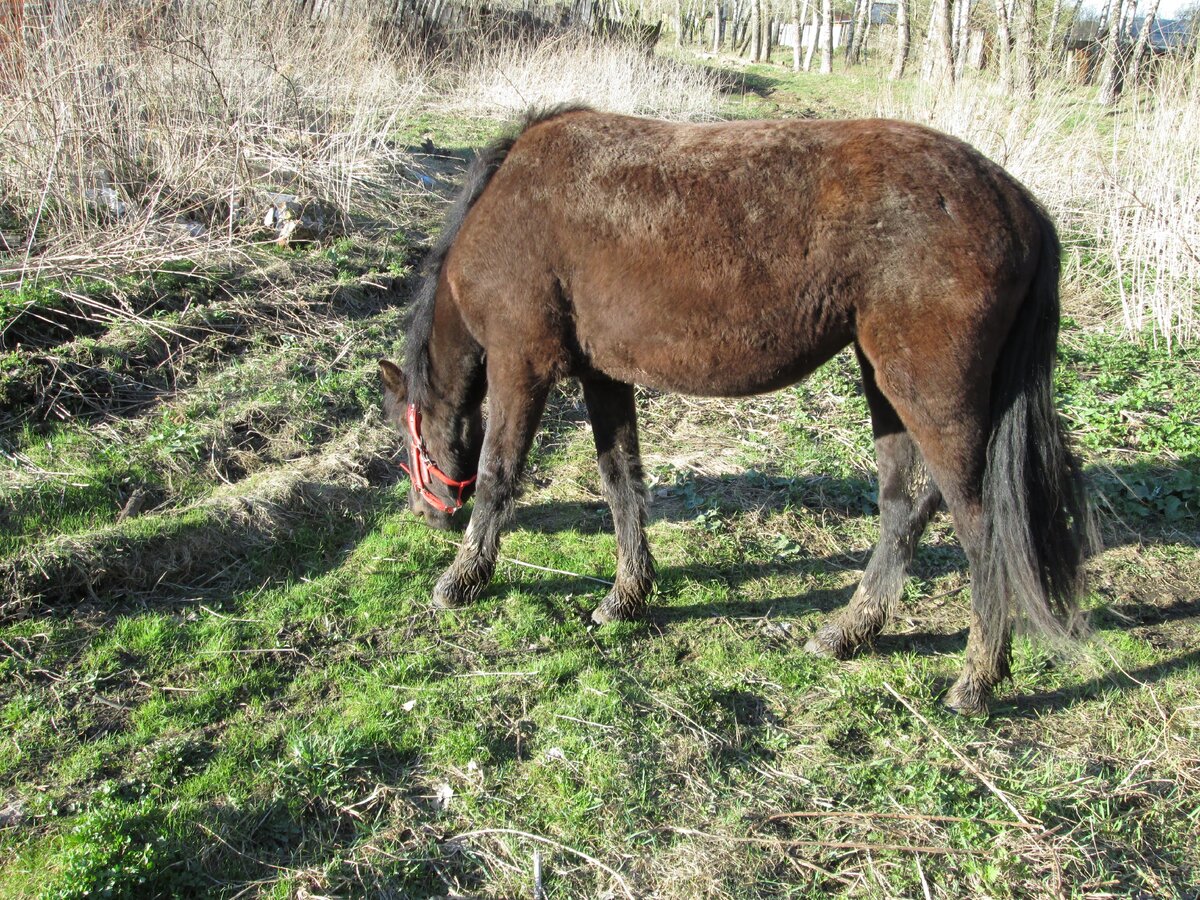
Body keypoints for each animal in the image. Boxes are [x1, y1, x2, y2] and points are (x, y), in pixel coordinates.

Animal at [376, 105, 1099, 715]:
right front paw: (627, 596)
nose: (424, 514)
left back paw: (976, 681)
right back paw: (849, 632)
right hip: (889, 389)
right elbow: (621, 482)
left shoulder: (520, 364)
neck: (508, 205)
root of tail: (1017, 203)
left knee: (982, 532)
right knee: (903, 508)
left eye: (409, 442)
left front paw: (462, 578)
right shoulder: (603, 377)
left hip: (932, 399)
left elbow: (501, 474)